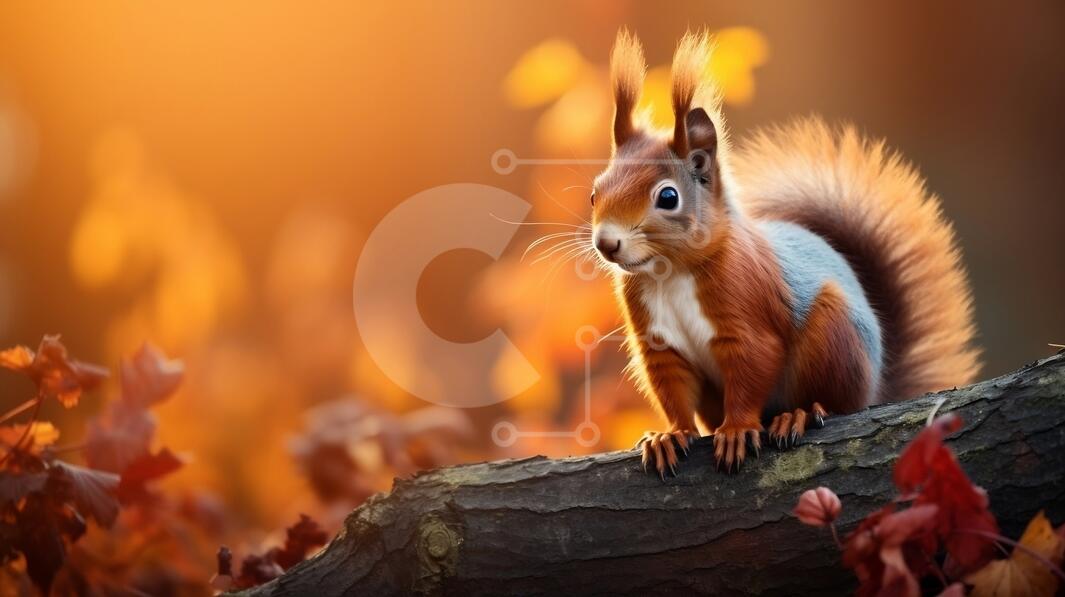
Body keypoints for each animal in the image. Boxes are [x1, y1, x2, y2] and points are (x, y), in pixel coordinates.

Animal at [590, 30, 980, 475]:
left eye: (668, 197)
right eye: (595, 191)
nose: (606, 243)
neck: (669, 272)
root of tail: (878, 384)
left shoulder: (747, 313)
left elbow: (751, 370)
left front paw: (737, 429)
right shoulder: (658, 344)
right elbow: (672, 392)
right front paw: (671, 434)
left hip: (833, 337)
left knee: (836, 403)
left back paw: (800, 414)